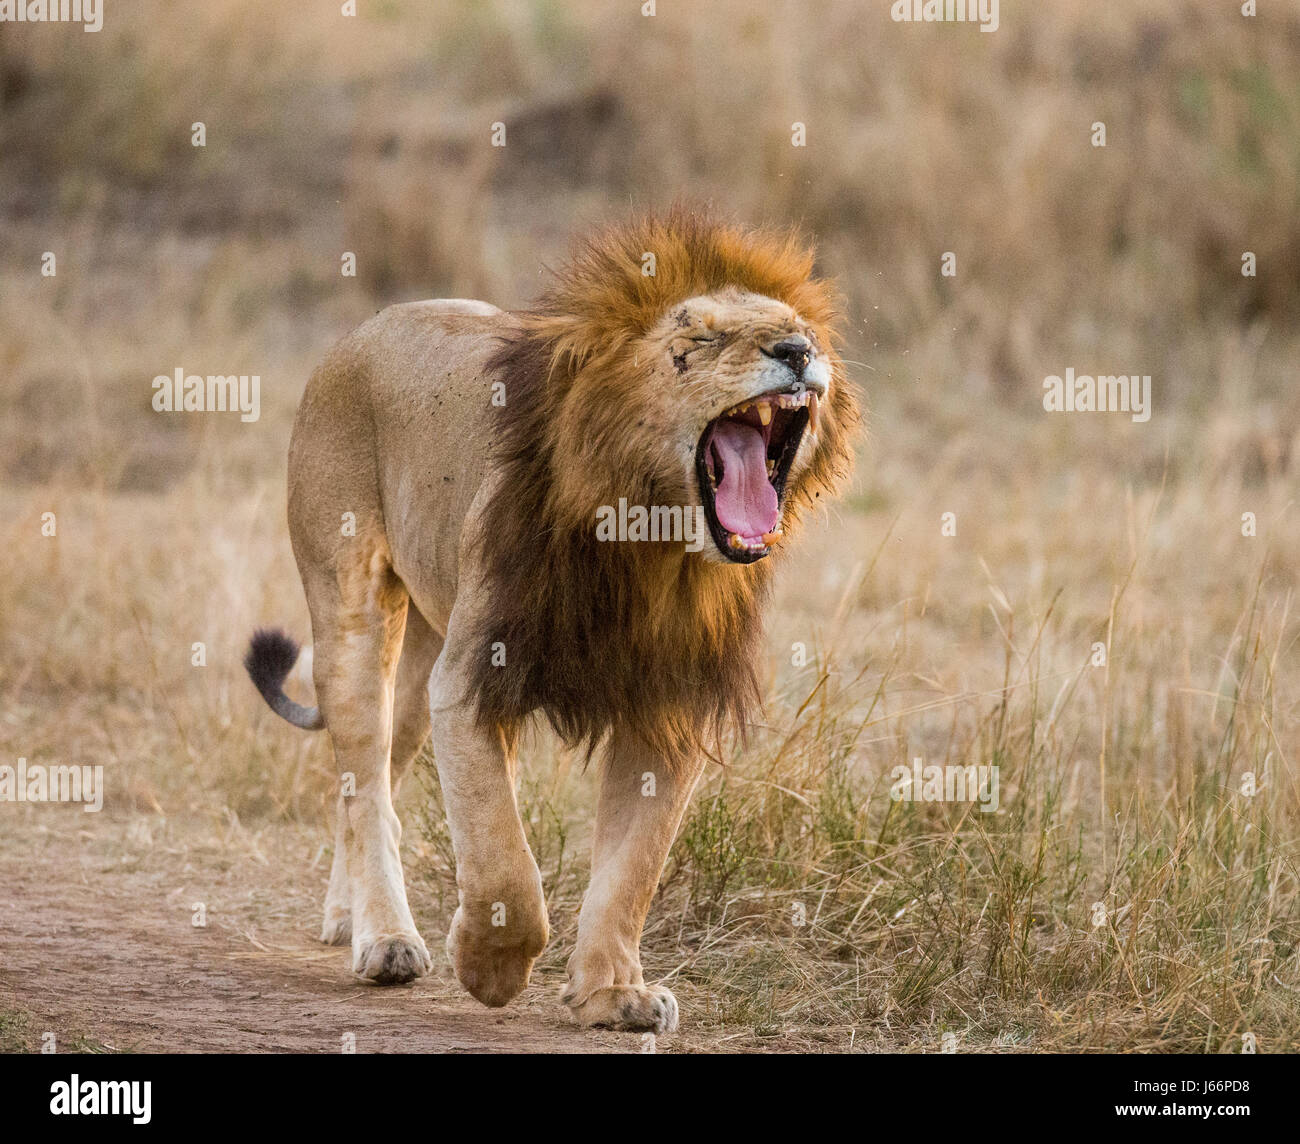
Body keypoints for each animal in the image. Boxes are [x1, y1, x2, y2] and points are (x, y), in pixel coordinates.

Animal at [244, 208, 860, 1032]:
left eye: (804, 330)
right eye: (696, 342)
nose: (797, 353)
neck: (650, 545)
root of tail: (365, 328)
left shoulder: (667, 708)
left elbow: (633, 870)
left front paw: (614, 993)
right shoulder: (472, 682)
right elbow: (504, 858)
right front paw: (493, 967)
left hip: (422, 659)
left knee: (367, 782)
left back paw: (348, 915)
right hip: (351, 613)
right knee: (366, 781)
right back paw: (386, 941)